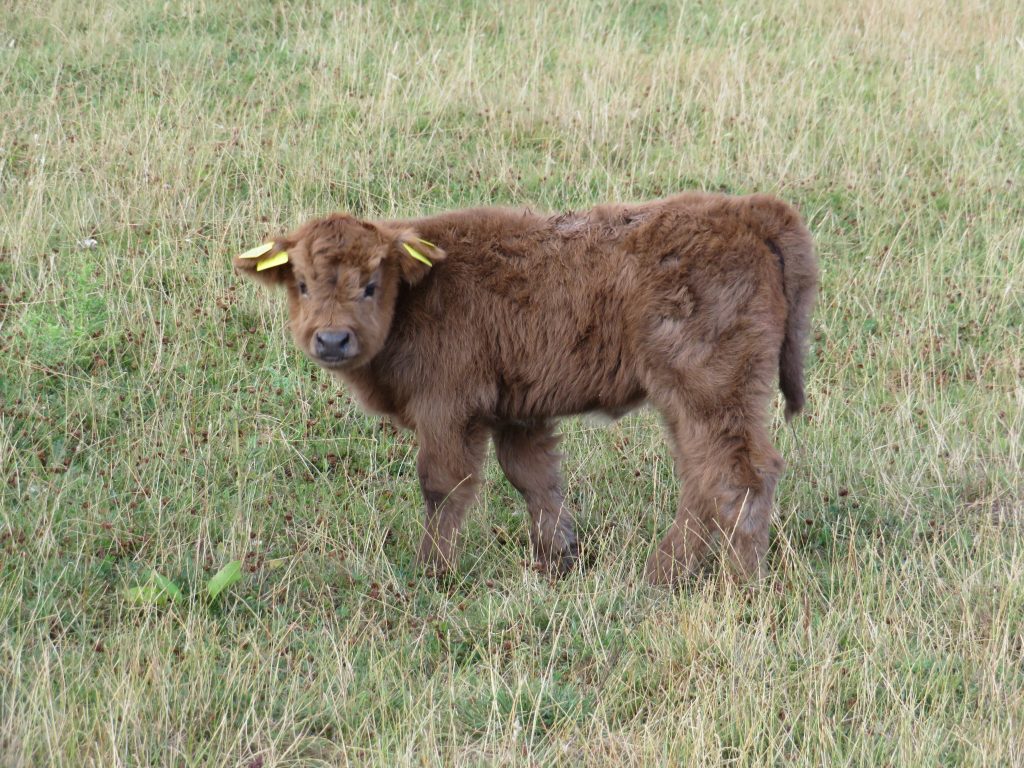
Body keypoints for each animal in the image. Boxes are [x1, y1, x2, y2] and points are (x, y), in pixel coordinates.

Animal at [233, 192, 818, 584]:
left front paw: (432, 571)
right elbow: (536, 481)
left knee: (740, 474)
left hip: (710, 391)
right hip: (690, 402)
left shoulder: (448, 410)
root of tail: (745, 211)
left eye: (373, 284)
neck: (423, 290)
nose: (332, 339)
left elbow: (443, 485)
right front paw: (557, 560)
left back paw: (737, 582)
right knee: (702, 476)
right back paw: (663, 573)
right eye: (301, 283)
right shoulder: (518, 412)